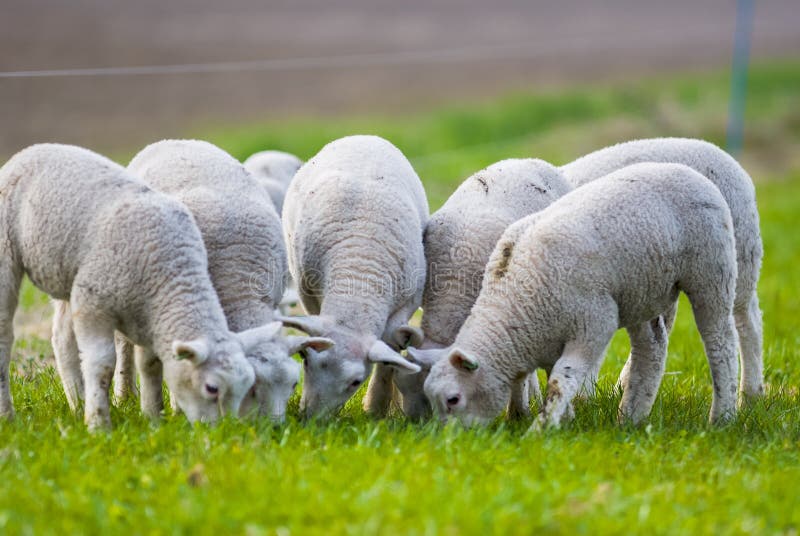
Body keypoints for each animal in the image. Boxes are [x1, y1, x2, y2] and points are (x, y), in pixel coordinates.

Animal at [0, 143, 258, 429]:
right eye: (212, 388)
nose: (223, 431)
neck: (169, 278)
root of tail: (31, 150)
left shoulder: (147, 316)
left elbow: (150, 364)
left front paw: (153, 418)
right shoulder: (92, 304)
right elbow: (102, 364)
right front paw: (99, 424)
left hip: (68, 272)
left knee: (62, 338)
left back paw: (77, 404)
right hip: (7, 251)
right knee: (4, 335)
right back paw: (8, 416)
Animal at [113, 139, 330, 422]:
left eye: (294, 384)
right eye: (253, 386)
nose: (275, 426)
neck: (238, 286)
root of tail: (174, 141)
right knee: (123, 346)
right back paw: (124, 395)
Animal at [279, 135, 426, 418]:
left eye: (356, 382)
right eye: (305, 359)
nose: (311, 419)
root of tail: (366, 136)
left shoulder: (406, 304)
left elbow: (389, 352)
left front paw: (376, 407)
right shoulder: (308, 293)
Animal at [424, 162, 740, 431]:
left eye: (453, 399)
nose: (449, 440)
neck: (517, 302)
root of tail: (690, 173)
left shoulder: (593, 322)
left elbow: (560, 380)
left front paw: (542, 428)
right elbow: (548, 377)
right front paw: (562, 419)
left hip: (711, 270)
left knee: (720, 340)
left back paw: (722, 417)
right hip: (640, 289)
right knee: (652, 346)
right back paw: (630, 417)